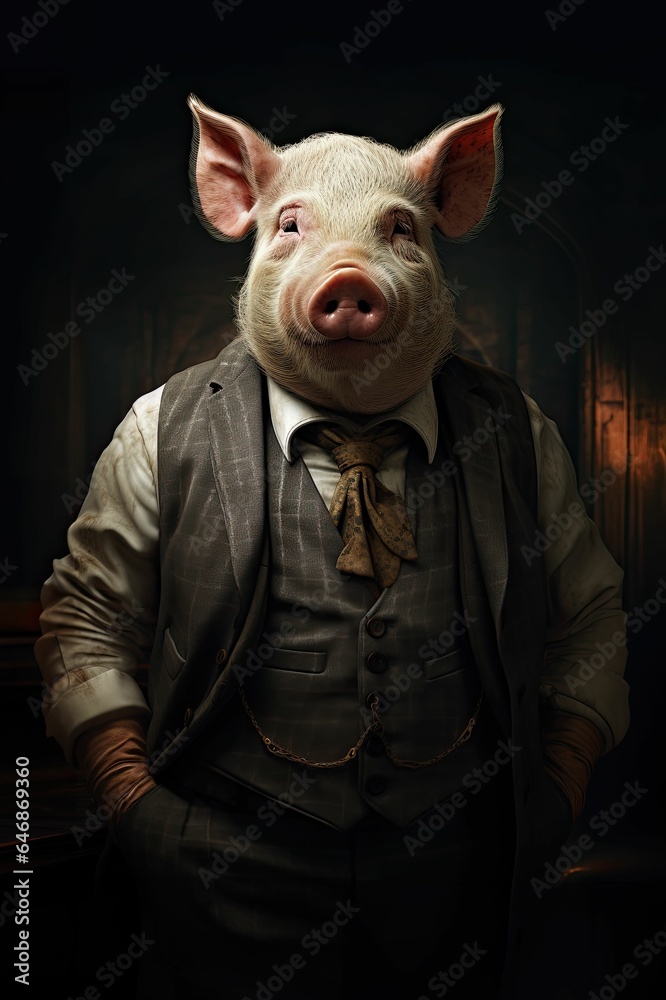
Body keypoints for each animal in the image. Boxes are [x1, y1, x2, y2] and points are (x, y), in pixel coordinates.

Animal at [35, 96, 629, 1000]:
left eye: (401, 228)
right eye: (289, 224)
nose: (348, 280)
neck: (352, 425)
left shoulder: (544, 445)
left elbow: (587, 601)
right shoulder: (131, 449)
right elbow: (92, 601)